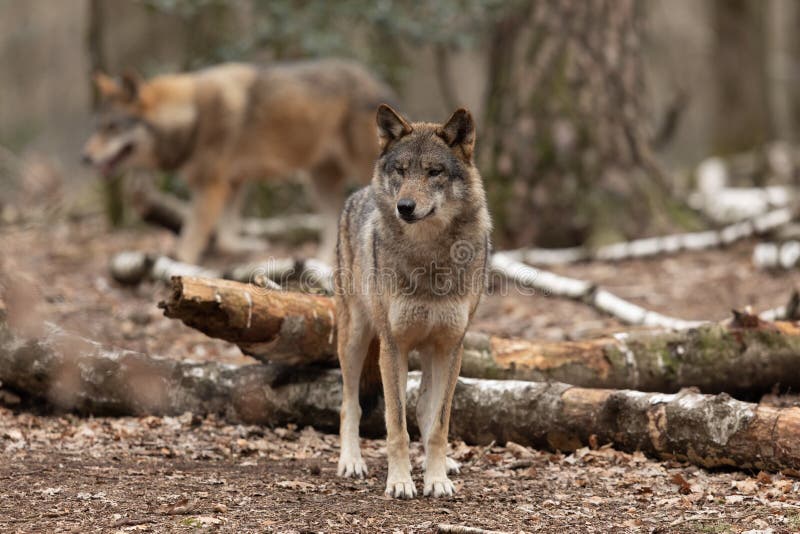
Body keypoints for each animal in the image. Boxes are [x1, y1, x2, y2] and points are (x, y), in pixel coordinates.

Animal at [82, 59, 393, 263]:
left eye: (112, 127)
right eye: (98, 127)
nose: (85, 157)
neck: (192, 118)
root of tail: (377, 82)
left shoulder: (211, 186)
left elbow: (192, 235)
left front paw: (179, 263)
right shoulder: (232, 183)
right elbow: (226, 236)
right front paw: (244, 246)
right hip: (318, 183)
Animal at [335, 104, 491, 498]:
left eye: (434, 172)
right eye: (401, 171)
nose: (405, 206)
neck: (428, 257)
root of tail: (357, 193)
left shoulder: (452, 346)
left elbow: (438, 425)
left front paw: (436, 480)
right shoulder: (393, 347)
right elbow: (396, 426)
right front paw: (401, 482)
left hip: (431, 351)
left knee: (423, 408)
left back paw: (445, 465)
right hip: (356, 339)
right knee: (349, 405)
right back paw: (351, 462)